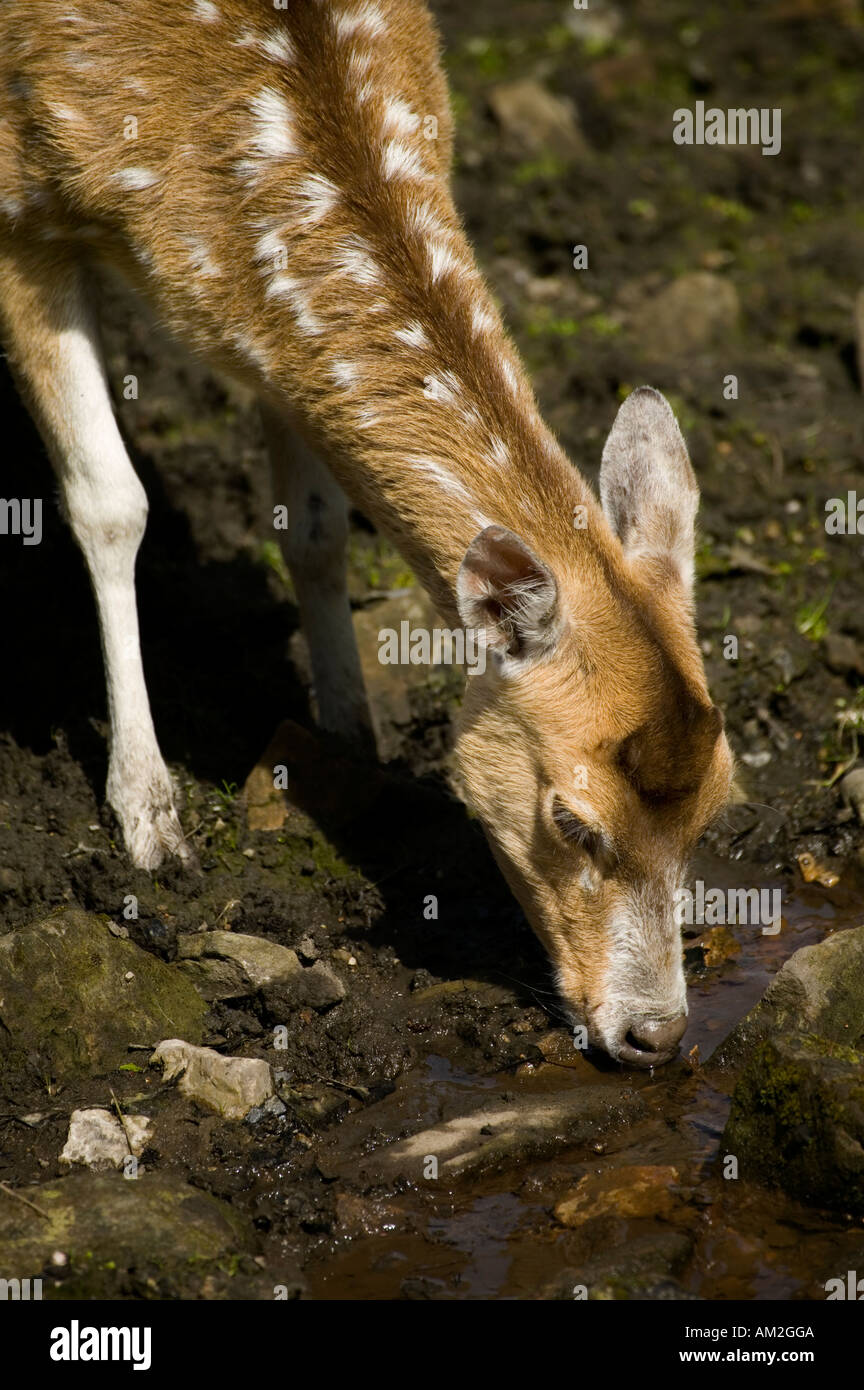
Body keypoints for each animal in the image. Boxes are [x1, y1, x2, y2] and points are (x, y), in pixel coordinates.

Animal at [0, 0, 733, 1068]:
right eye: (572, 821)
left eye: (719, 805)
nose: (657, 1034)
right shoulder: (24, 209)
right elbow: (110, 503)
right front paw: (148, 817)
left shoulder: (263, 342)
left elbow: (312, 527)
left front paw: (348, 739)